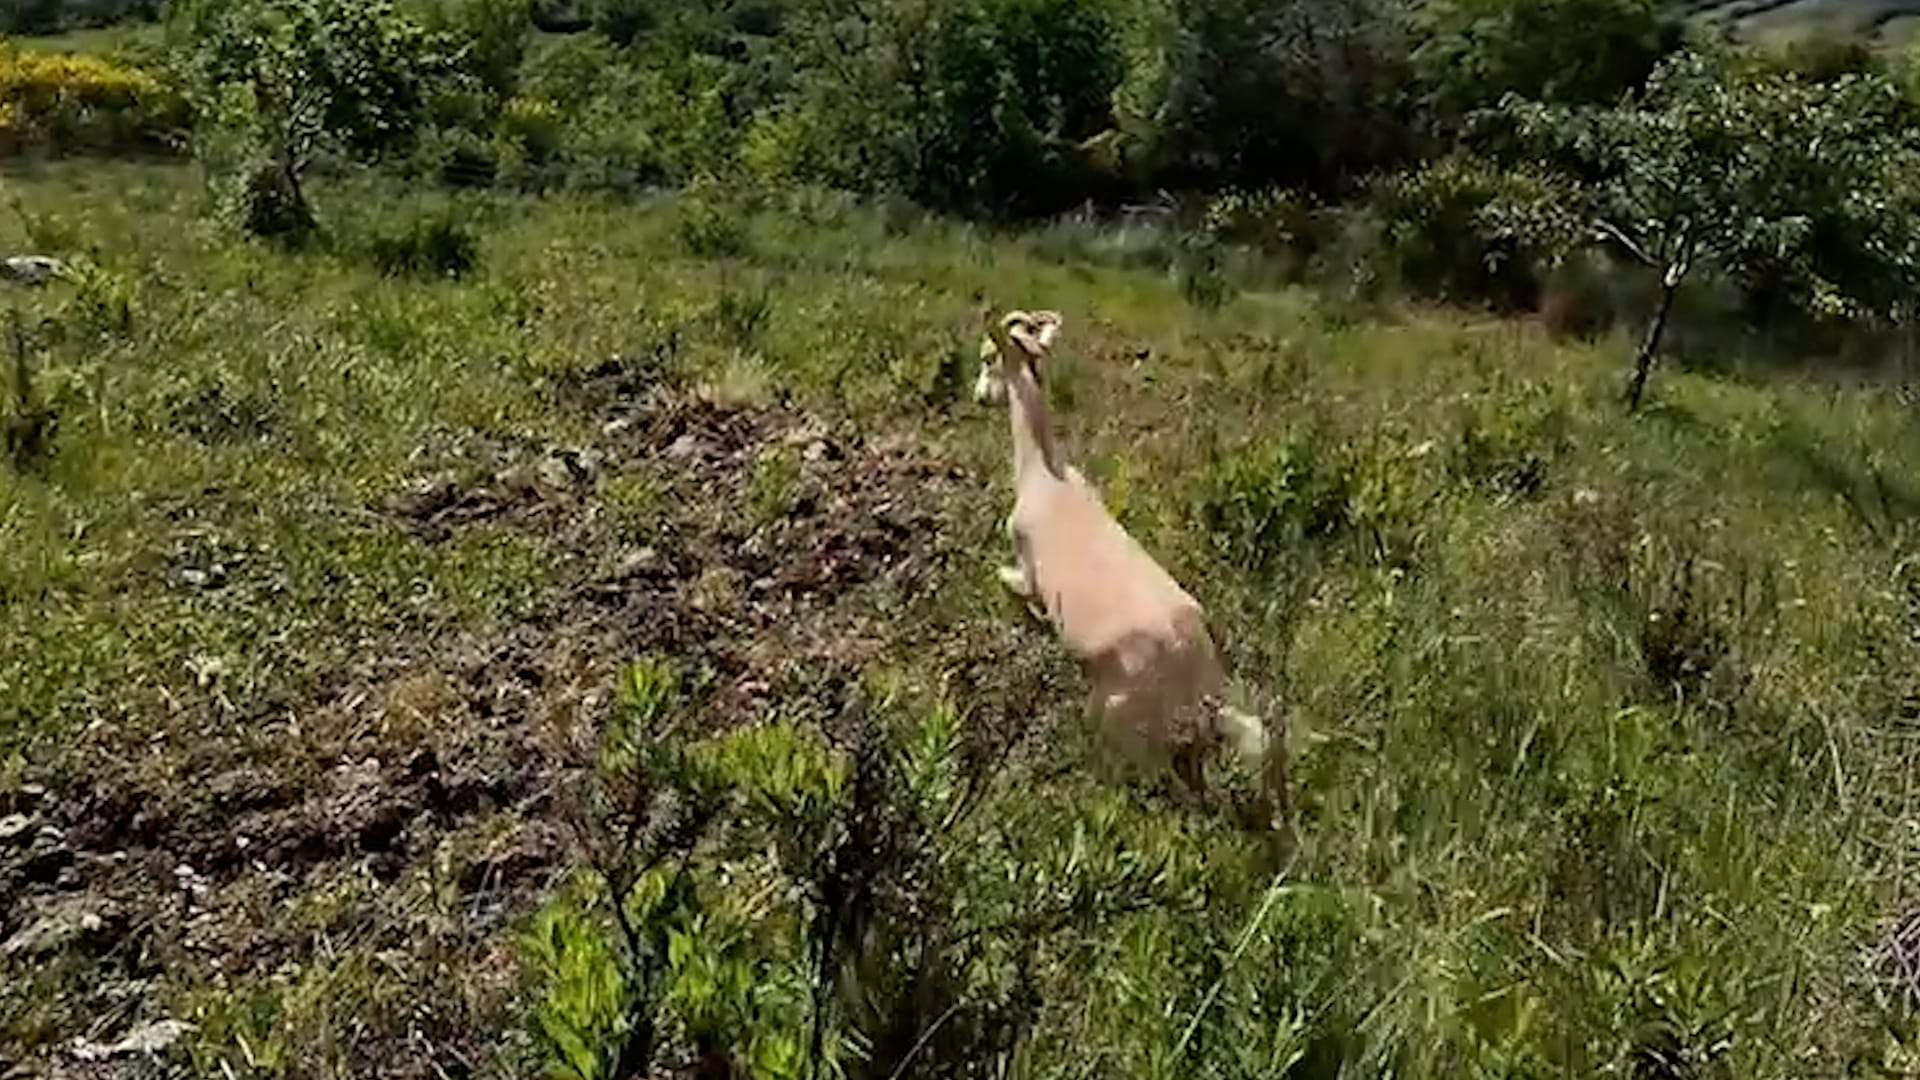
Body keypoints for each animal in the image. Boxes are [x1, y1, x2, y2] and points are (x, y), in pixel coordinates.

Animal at [983, 307, 1290, 836]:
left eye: (988, 357)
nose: (979, 394)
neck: (1041, 471)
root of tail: (1190, 668)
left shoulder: (1025, 566)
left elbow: (1010, 586)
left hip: (1118, 715)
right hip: (1203, 718)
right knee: (1252, 744)